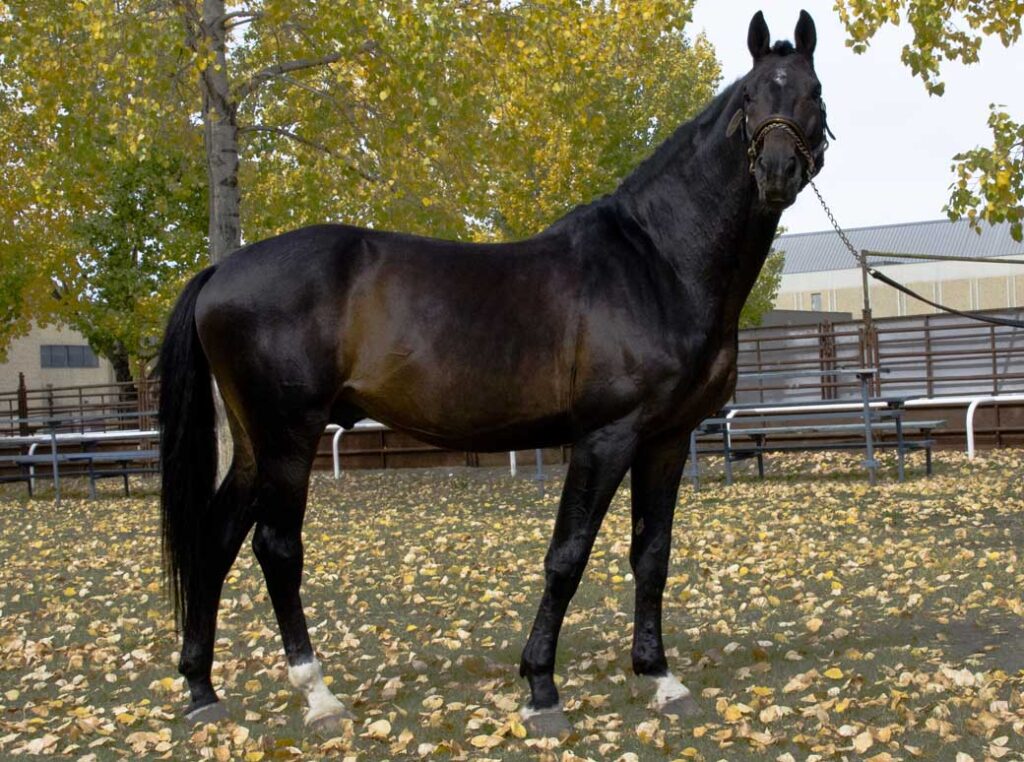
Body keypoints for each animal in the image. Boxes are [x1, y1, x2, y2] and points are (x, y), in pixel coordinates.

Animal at [158, 10, 830, 738]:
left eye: (813, 94)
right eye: (751, 98)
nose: (777, 171)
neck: (655, 262)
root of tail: (221, 270)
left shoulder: (667, 439)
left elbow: (651, 555)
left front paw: (660, 678)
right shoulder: (606, 436)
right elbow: (567, 556)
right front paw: (541, 689)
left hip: (255, 441)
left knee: (216, 538)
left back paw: (202, 687)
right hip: (288, 436)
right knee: (277, 548)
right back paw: (318, 695)